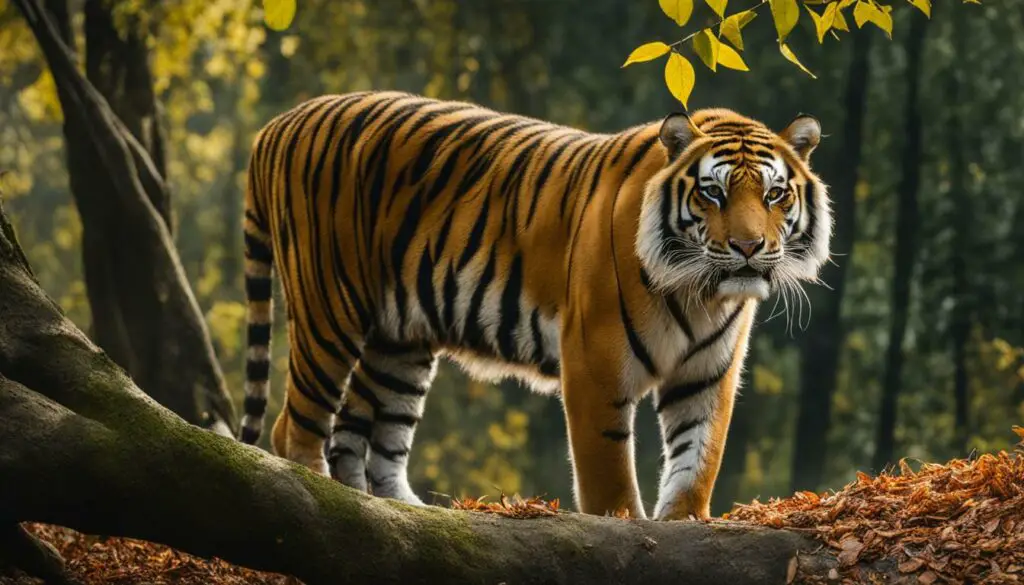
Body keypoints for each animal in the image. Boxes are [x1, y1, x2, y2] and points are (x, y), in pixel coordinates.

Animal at [238, 90, 830, 520]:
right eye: (713, 193)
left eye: (775, 194)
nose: (749, 248)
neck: (701, 291)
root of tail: (277, 123)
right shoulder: (595, 365)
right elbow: (608, 474)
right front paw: (624, 526)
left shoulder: (708, 372)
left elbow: (697, 459)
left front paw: (683, 523)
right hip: (329, 311)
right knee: (296, 426)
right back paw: (324, 499)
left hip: (398, 338)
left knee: (368, 438)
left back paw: (415, 516)